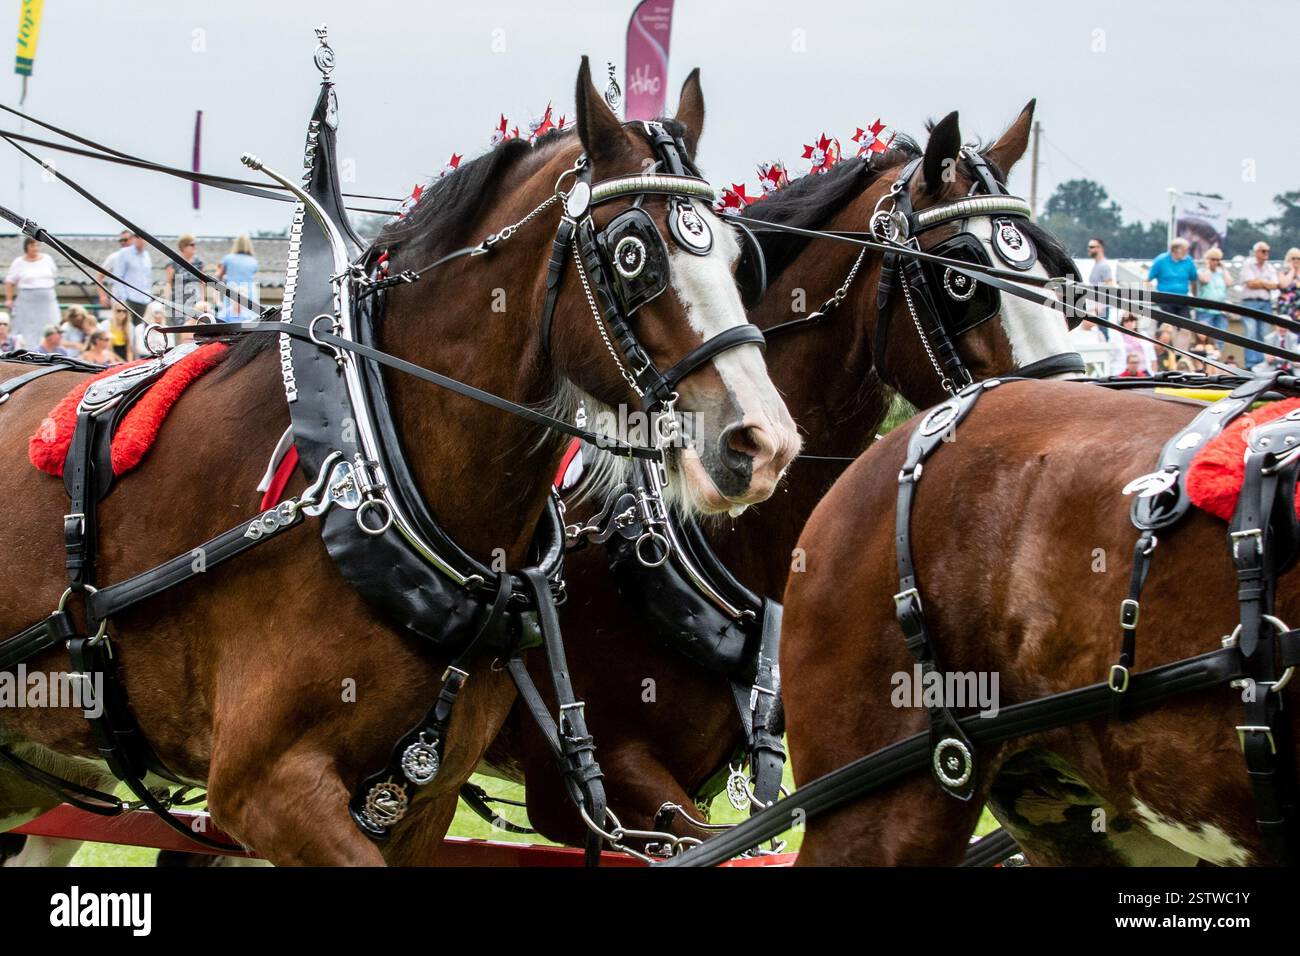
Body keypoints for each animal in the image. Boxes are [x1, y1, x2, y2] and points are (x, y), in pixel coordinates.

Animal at [0, 58, 798, 866]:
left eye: (742, 260)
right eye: (635, 255)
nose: (764, 443)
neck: (365, 463)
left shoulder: (425, 803)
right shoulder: (265, 788)